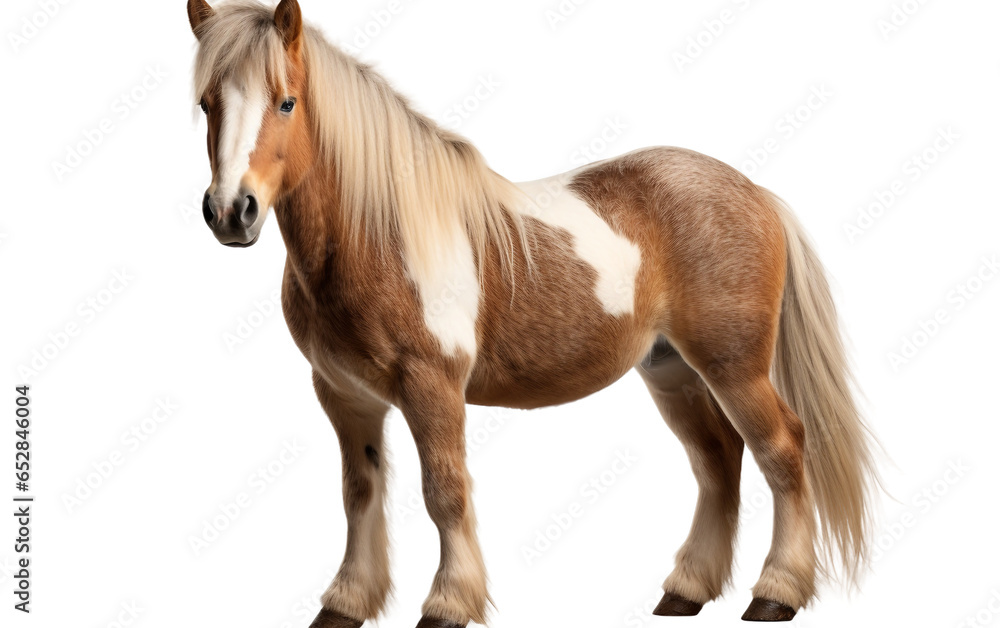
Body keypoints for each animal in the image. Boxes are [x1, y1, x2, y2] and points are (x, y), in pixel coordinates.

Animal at [185, 1, 878, 625]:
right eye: (207, 104)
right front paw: (346, 603)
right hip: (671, 370)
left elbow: (445, 492)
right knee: (718, 460)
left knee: (781, 451)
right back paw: (685, 591)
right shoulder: (343, 393)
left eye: (285, 103)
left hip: (734, 366)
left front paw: (448, 604)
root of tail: (756, 192)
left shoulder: (432, 386)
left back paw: (776, 595)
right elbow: (361, 491)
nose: (231, 212)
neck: (379, 235)